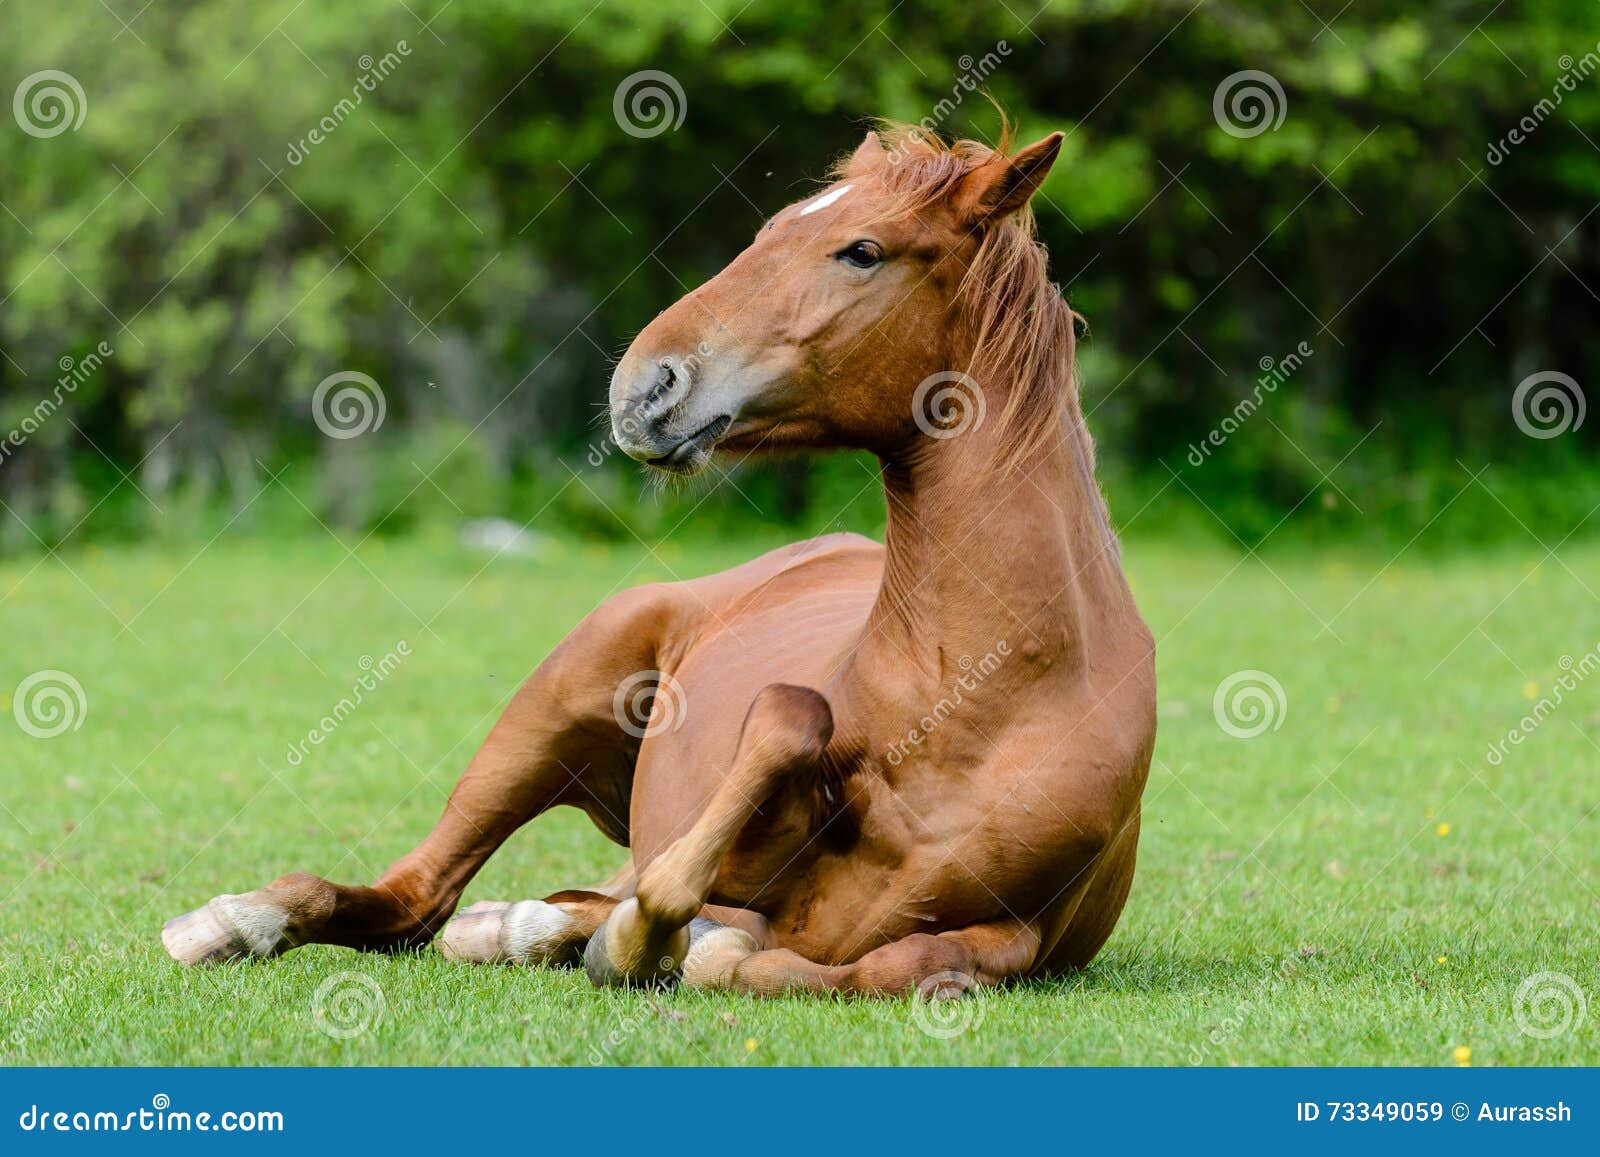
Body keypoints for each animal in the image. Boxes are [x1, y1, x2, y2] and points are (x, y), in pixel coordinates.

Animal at [162, 122, 1157, 998]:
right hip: (552, 701)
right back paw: (238, 921)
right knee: (417, 895)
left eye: (862, 251)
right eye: (771, 230)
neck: (975, 702)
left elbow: (888, 963)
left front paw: (635, 940)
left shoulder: (1022, 936)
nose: (644, 384)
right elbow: (782, 728)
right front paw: (635, 937)